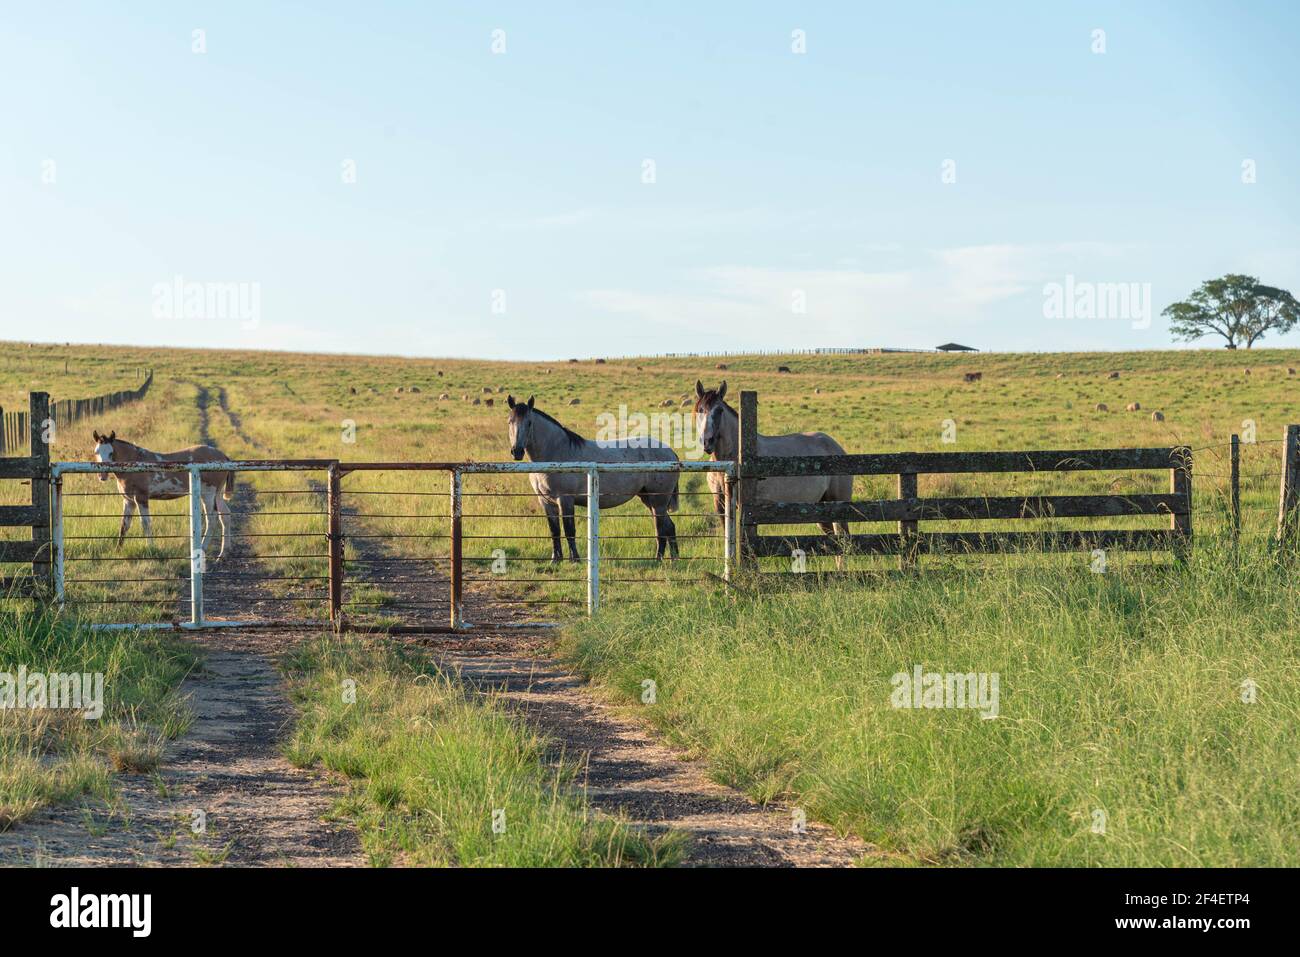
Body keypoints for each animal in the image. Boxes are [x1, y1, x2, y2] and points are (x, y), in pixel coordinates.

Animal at [90, 430, 235, 562]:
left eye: (111, 453)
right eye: (96, 452)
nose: (102, 475)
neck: (135, 463)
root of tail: (223, 456)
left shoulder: (141, 498)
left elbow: (146, 523)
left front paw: (151, 549)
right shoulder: (128, 501)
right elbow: (124, 525)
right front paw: (117, 550)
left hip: (208, 494)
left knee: (212, 520)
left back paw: (202, 550)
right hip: (217, 494)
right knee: (225, 516)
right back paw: (223, 553)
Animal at [506, 395, 680, 562]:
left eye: (529, 423)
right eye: (510, 421)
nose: (517, 452)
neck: (557, 453)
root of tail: (671, 452)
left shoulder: (565, 499)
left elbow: (569, 530)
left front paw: (575, 560)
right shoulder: (546, 502)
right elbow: (554, 531)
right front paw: (555, 560)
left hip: (658, 501)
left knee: (660, 528)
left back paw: (658, 559)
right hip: (648, 498)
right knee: (669, 526)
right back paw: (674, 559)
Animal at [693, 380, 852, 541]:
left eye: (719, 410)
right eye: (700, 409)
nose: (707, 442)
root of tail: (837, 447)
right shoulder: (720, 505)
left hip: (838, 506)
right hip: (821, 509)